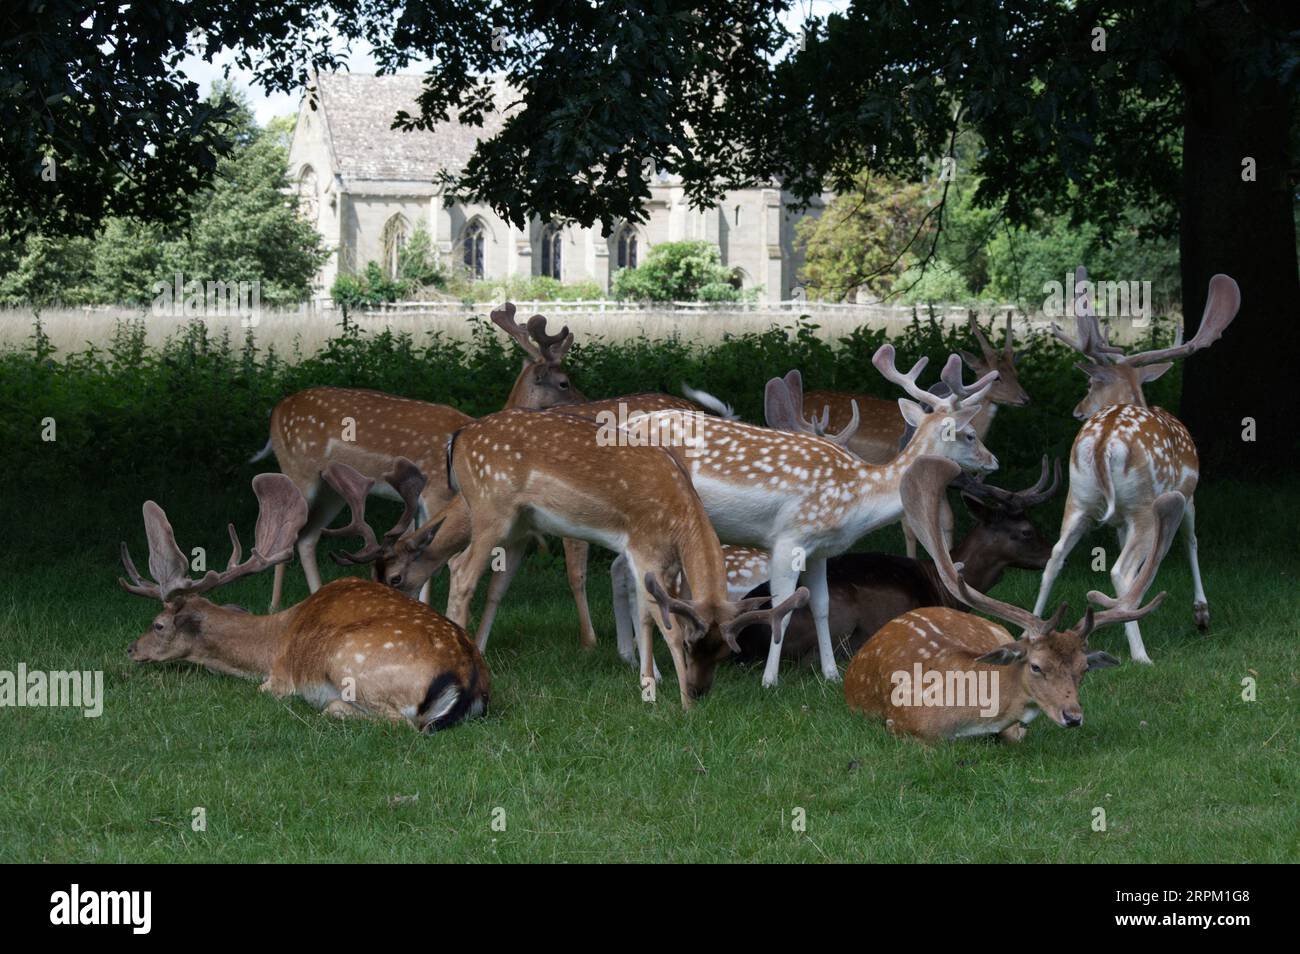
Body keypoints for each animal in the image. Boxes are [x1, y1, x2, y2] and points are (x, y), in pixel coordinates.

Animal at [119, 473, 489, 731]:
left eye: (158, 624)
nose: (131, 649)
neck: (271, 644)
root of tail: (470, 679)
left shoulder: (278, 680)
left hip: (351, 663)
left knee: (401, 722)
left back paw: (332, 708)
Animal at [251, 302, 584, 612]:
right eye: (564, 382)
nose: (584, 403)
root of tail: (275, 413)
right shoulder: (437, 490)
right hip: (298, 470)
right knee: (288, 530)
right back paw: (274, 605)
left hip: (331, 488)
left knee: (307, 537)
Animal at [440, 407, 810, 709]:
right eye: (691, 646)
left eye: (725, 653)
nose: (699, 691)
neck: (680, 517)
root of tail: (457, 439)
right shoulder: (645, 546)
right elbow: (665, 624)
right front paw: (681, 703)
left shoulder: (653, 560)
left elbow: (646, 615)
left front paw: (647, 685)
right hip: (491, 508)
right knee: (462, 572)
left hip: (518, 522)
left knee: (466, 568)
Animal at [630, 345, 1001, 689]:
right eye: (969, 434)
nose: (994, 461)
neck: (859, 498)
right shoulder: (789, 538)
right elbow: (783, 607)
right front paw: (769, 680)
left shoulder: (821, 549)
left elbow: (822, 605)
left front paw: (832, 674)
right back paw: (653, 675)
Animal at [1032, 267, 1241, 664]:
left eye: (1090, 384)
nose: (1078, 410)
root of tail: (1103, 441)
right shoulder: (1188, 493)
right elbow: (1191, 541)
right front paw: (1201, 614)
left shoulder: (1117, 521)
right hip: (1145, 504)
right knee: (1121, 570)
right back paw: (1141, 653)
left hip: (1077, 499)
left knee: (1054, 557)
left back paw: (1031, 631)